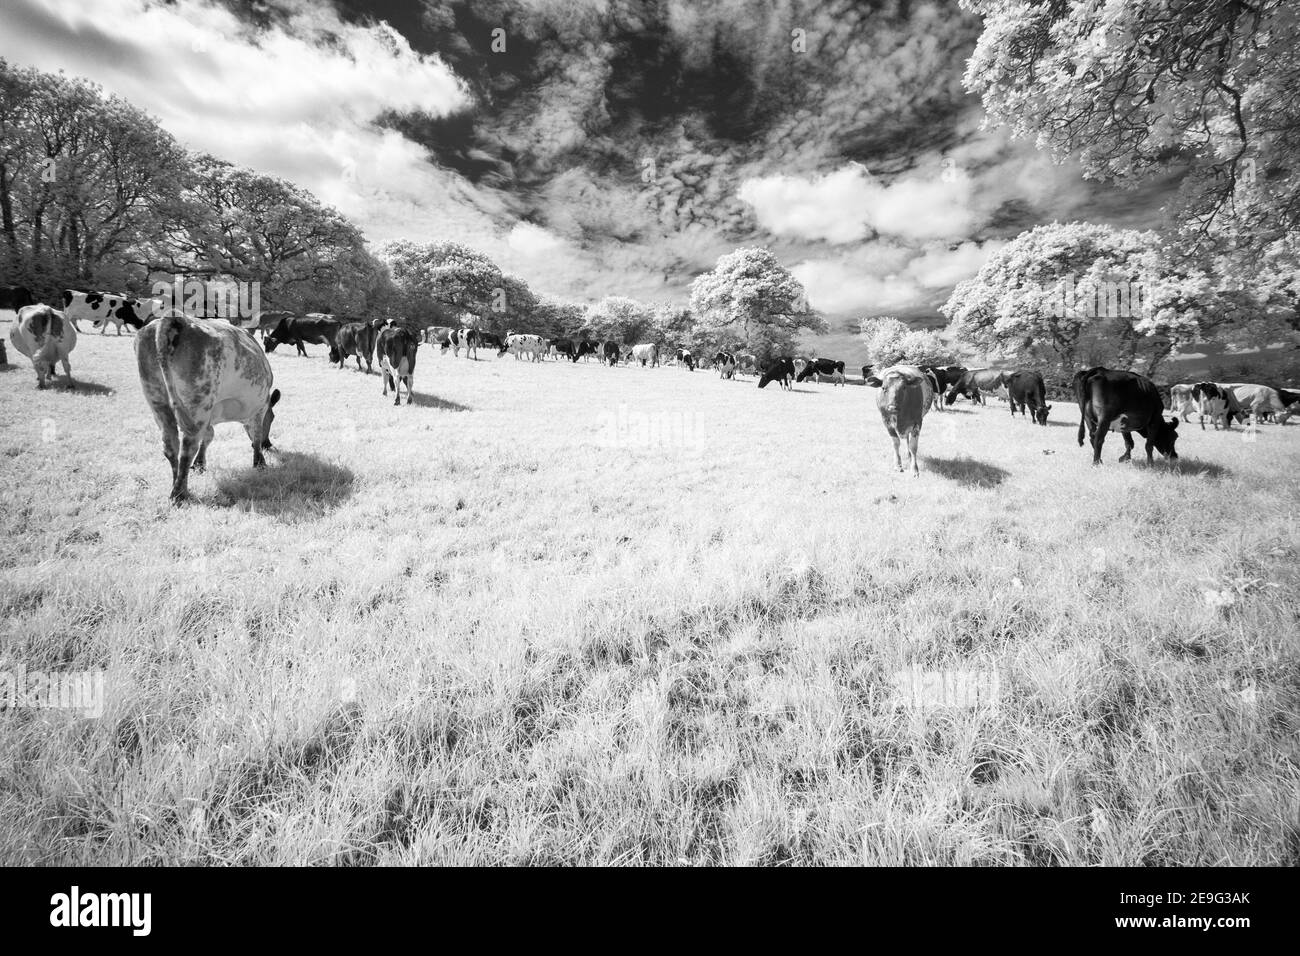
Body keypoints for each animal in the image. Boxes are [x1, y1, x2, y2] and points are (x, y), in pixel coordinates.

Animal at [135, 311, 280, 502]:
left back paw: (177, 486)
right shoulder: (259, 407)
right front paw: (260, 463)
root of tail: (174, 319)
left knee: (170, 446)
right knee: (187, 447)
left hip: (157, 400)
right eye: (272, 419)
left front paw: (200, 464)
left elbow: (209, 436)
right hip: (199, 403)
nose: (268, 444)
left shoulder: (210, 417)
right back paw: (180, 494)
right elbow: (255, 435)